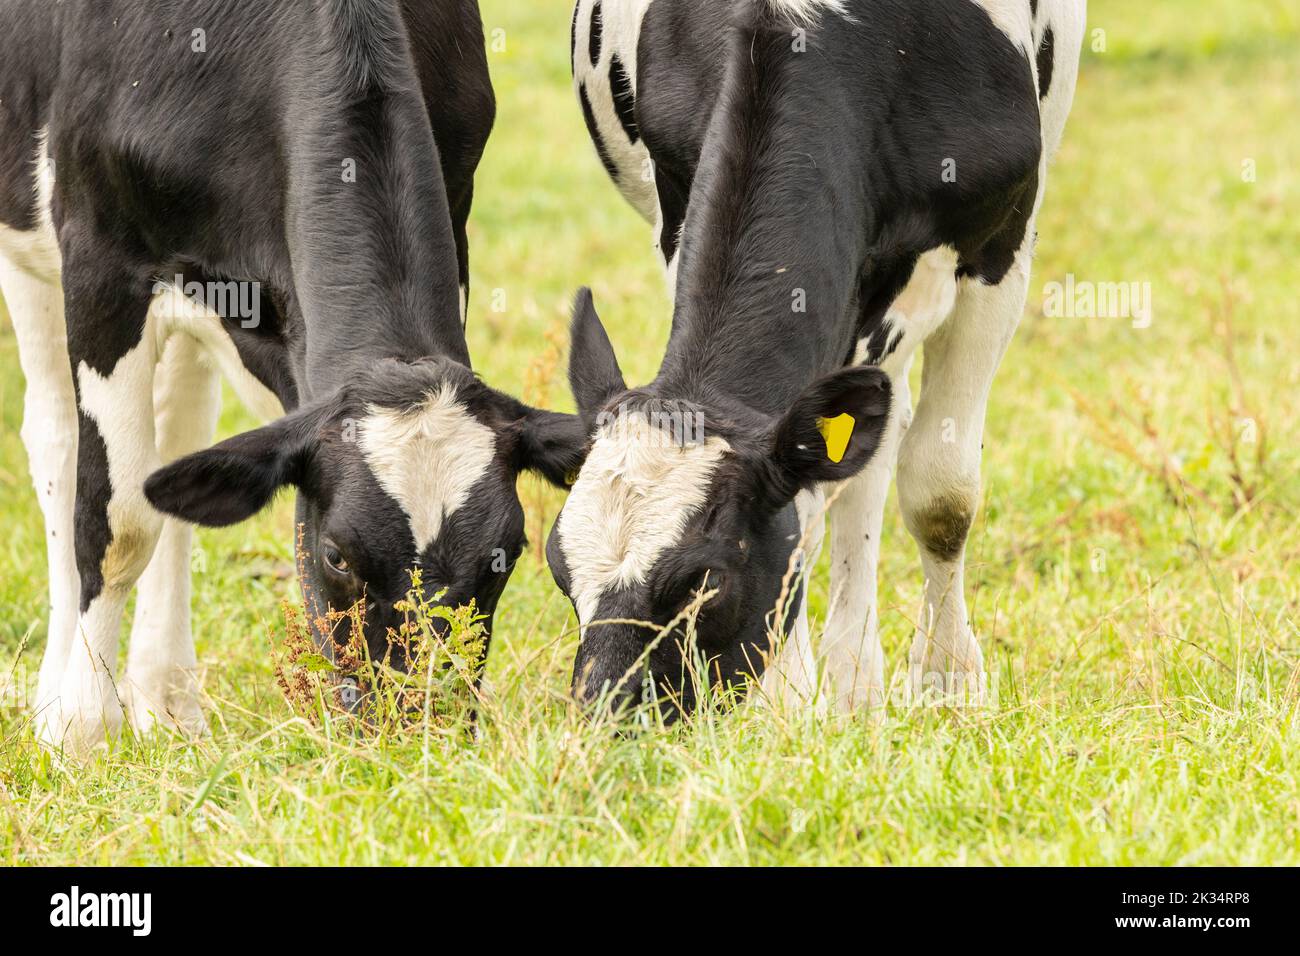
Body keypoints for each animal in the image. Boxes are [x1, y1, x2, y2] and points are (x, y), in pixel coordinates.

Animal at [0, 0, 587, 754]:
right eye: (336, 555)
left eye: (506, 555)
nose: (416, 731)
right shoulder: (100, 258)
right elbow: (117, 517)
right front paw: (82, 731)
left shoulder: (453, 213)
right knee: (58, 443)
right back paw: (58, 692)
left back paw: (168, 700)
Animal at [554, 0, 1084, 717]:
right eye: (560, 571)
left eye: (705, 583)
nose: (601, 717)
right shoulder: (674, 201)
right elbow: (805, 497)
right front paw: (790, 699)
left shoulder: (1000, 245)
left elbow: (942, 492)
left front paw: (949, 680)